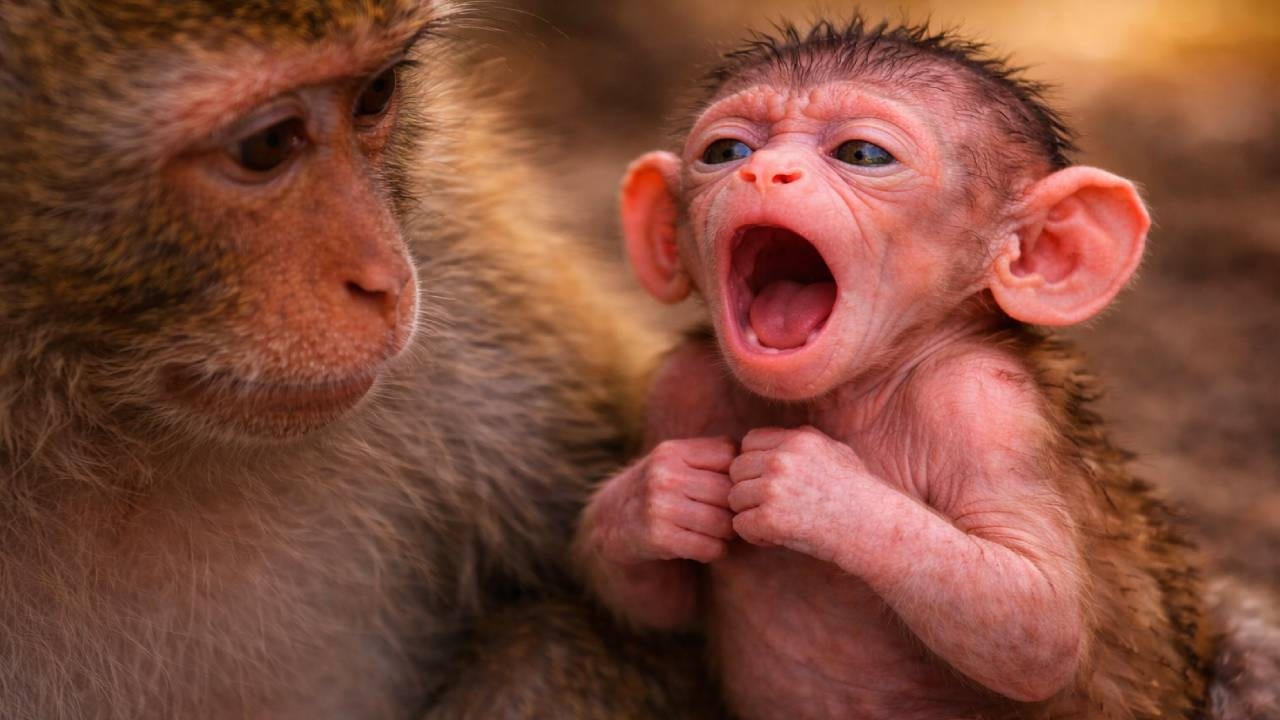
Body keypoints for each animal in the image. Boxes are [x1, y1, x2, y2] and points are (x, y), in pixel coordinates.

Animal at [573, 18, 1229, 719]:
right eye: (725, 150)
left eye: (863, 155)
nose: (763, 172)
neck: (850, 392)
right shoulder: (681, 388)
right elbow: (658, 606)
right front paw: (660, 496)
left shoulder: (984, 407)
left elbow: (1036, 623)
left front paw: (817, 490)